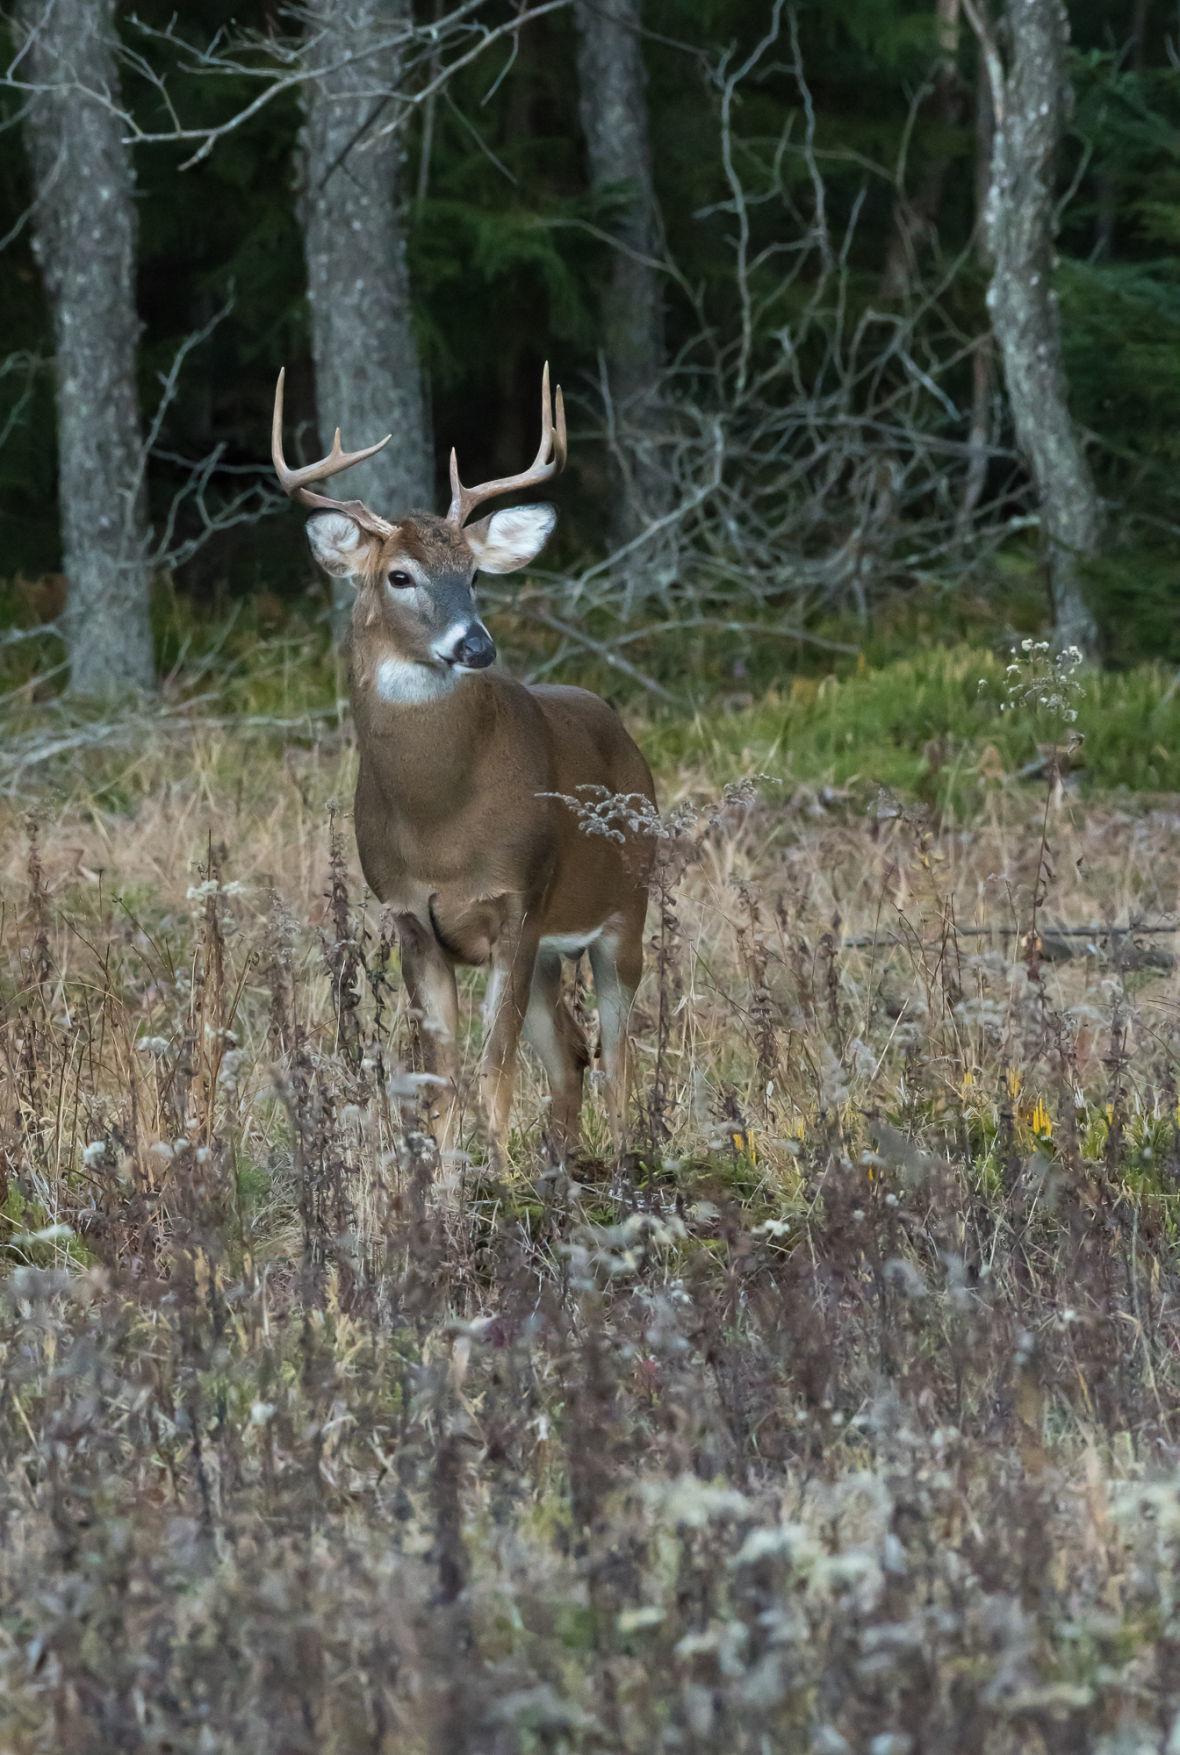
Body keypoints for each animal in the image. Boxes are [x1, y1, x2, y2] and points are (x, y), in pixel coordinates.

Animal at [271, 365, 655, 1167]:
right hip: (552, 951)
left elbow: (493, 1069)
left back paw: (619, 1159)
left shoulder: (520, 901)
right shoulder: (409, 913)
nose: (475, 645)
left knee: (617, 1051)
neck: (439, 820)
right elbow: (439, 1078)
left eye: (475, 573)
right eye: (399, 576)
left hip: (625, 908)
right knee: (571, 1052)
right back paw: (560, 1165)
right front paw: (447, 1188)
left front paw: (494, 1180)